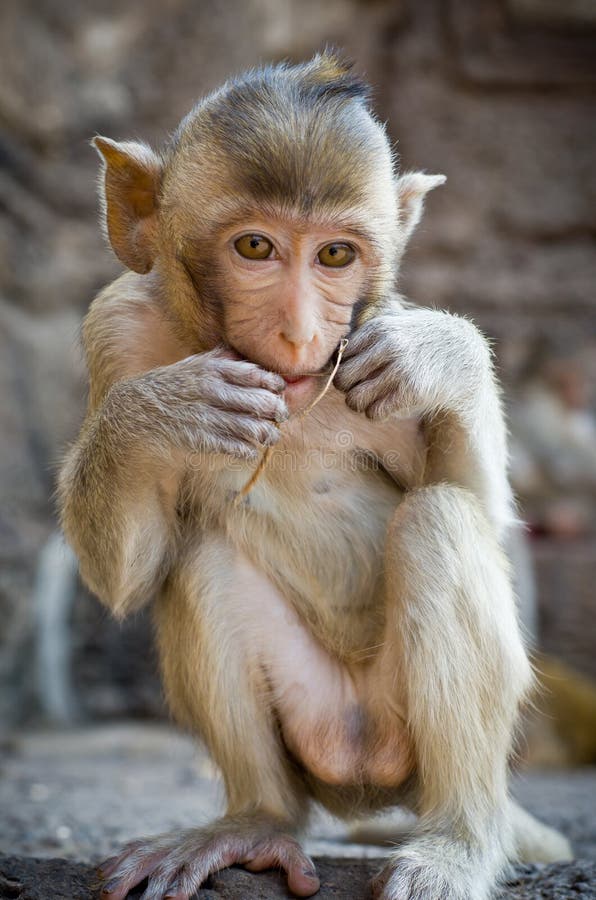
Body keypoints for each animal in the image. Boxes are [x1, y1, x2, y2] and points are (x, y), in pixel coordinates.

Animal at [58, 52, 572, 900]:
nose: (301, 332)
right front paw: (161, 411)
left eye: (335, 255)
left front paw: (443, 351)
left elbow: (484, 503)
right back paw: (253, 823)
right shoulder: (115, 326)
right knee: (199, 560)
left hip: (409, 740)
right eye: (255, 247)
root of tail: (367, 781)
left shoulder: (375, 344)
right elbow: (127, 578)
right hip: (318, 730)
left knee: (440, 520)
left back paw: (461, 841)